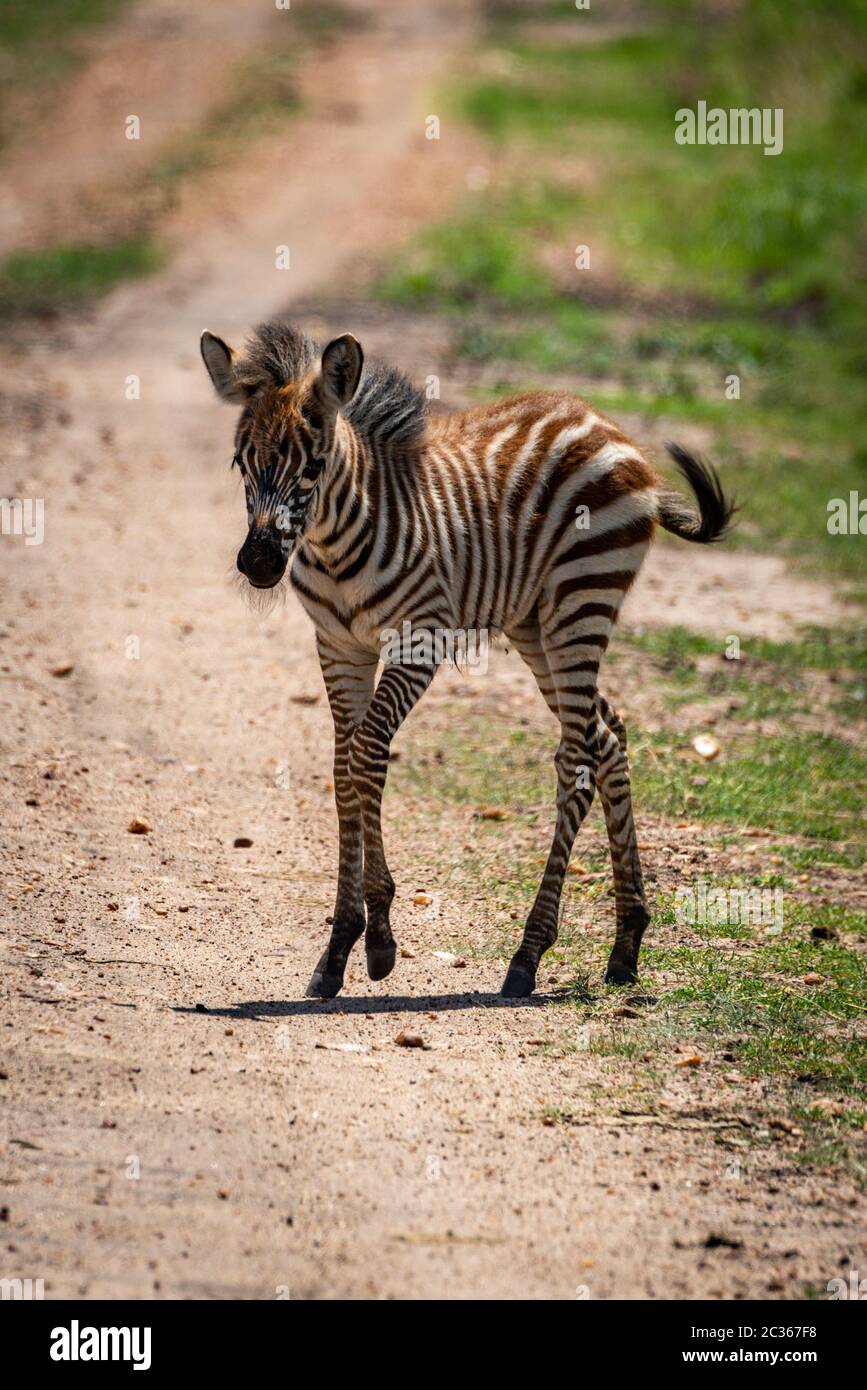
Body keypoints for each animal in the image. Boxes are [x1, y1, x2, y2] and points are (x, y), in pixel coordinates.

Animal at [201, 320, 734, 1000]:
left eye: (314, 467)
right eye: (241, 464)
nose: (260, 564)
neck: (333, 542)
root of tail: (604, 423)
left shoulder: (419, 640)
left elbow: (368, 755)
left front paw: (377, 938)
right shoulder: (339, 647)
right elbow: (345, 767)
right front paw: (339, 949)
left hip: (581, 603)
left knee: (577, 756)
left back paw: (528, 956)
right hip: (537, 627)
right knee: (608, 738)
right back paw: (625, 948)